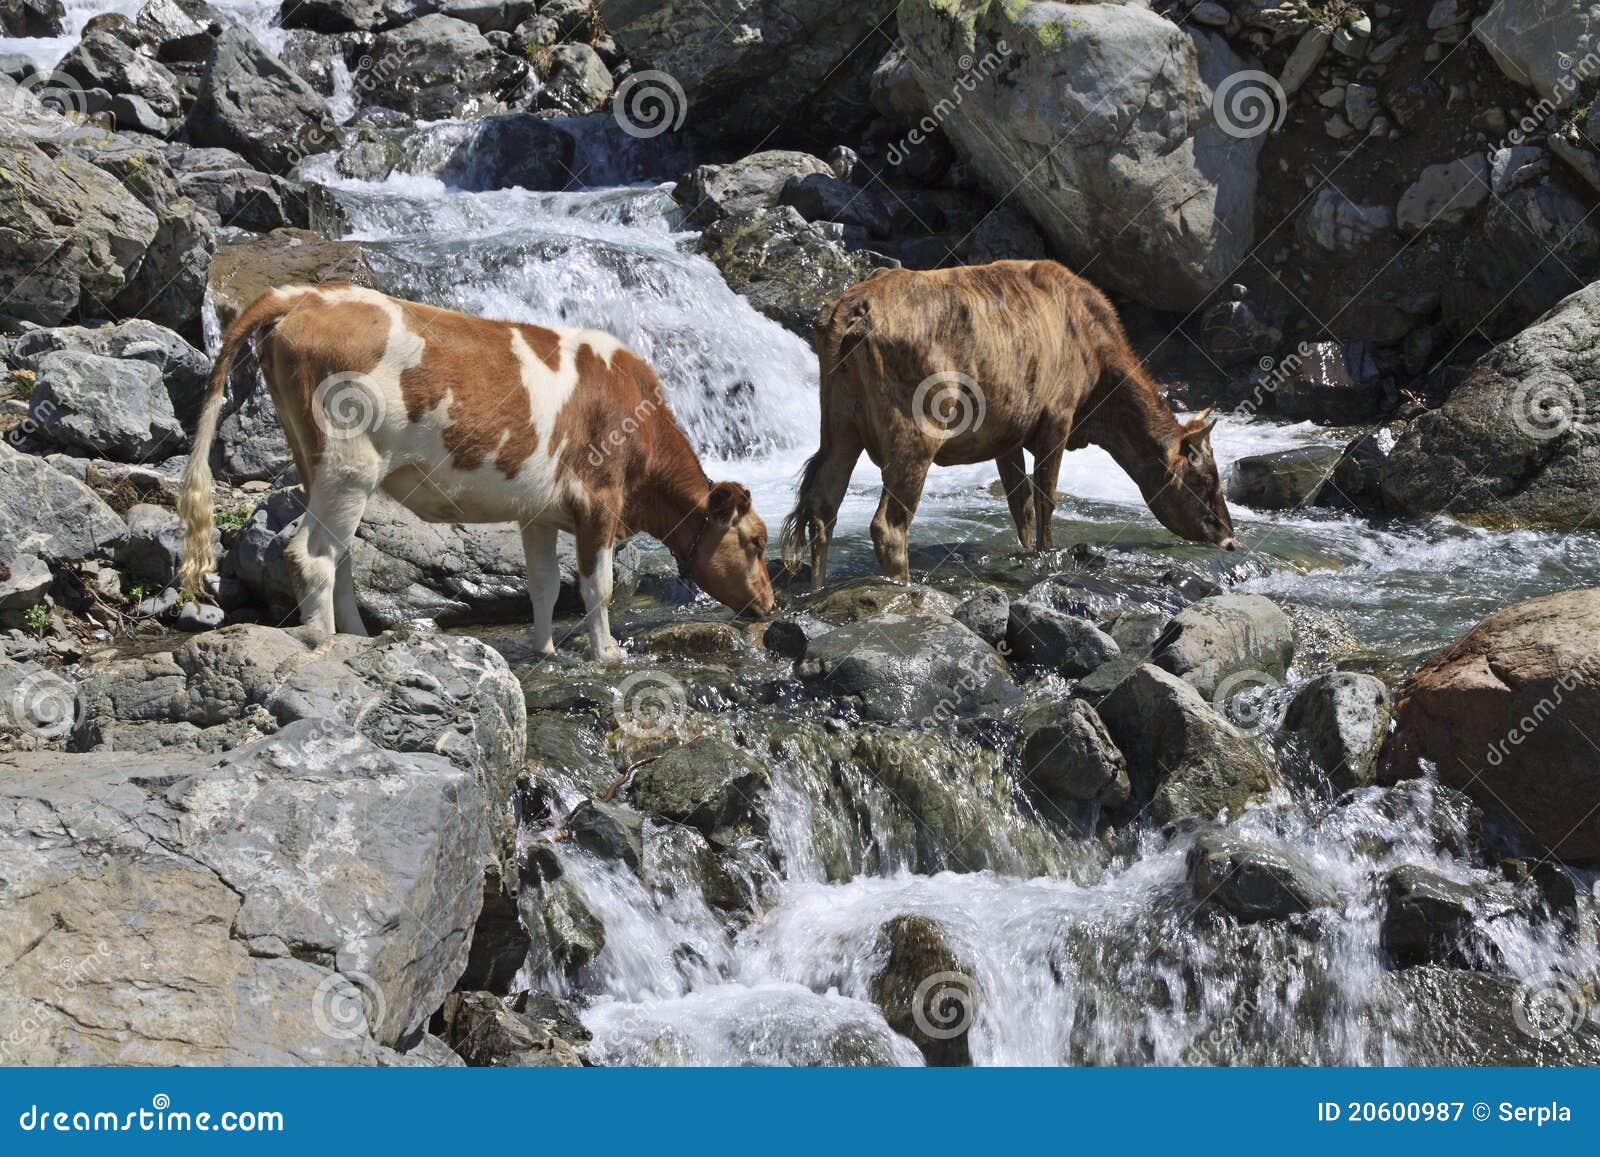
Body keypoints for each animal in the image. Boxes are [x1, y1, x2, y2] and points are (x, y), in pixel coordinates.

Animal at [178, 284, 776, 657]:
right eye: (755, 541)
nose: (770, 604)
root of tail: (306, 294)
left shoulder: (539, 512)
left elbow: (544, 586)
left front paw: (546, 650)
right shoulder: (598, 501)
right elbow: (597, 587)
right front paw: (606, 653)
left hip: (317, 467)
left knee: (339, 558)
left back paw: (357, 639)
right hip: (350, 465)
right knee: (314, 557)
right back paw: (325, 646)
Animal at [779, 260, 1237, 588]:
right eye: (1207, 479)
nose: (1230, 538)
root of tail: (851, 308)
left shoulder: (1007, 436)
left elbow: (1021, 505)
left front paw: (1028, 552)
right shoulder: (1057, 418)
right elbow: (1047, 499)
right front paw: (1048, 555)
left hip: (839, 426)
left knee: (822, 506)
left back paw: (817, 589)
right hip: (915, 433)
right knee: (888, 524)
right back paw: (904, 588)